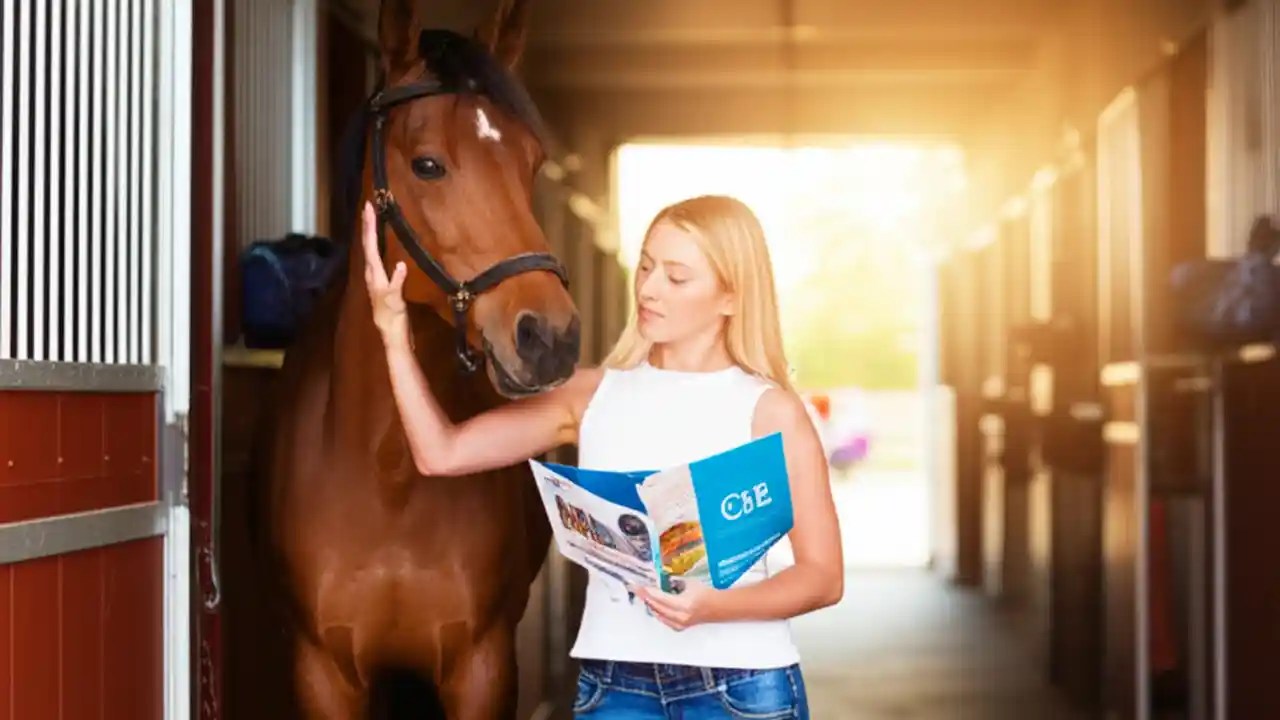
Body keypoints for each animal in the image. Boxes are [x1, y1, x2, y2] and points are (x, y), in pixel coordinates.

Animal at [258, 1, 580, 716]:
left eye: (532, 163)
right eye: (428, 164)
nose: (550, 337)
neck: (389, 475)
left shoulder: (482, 667)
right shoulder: (323, 672)